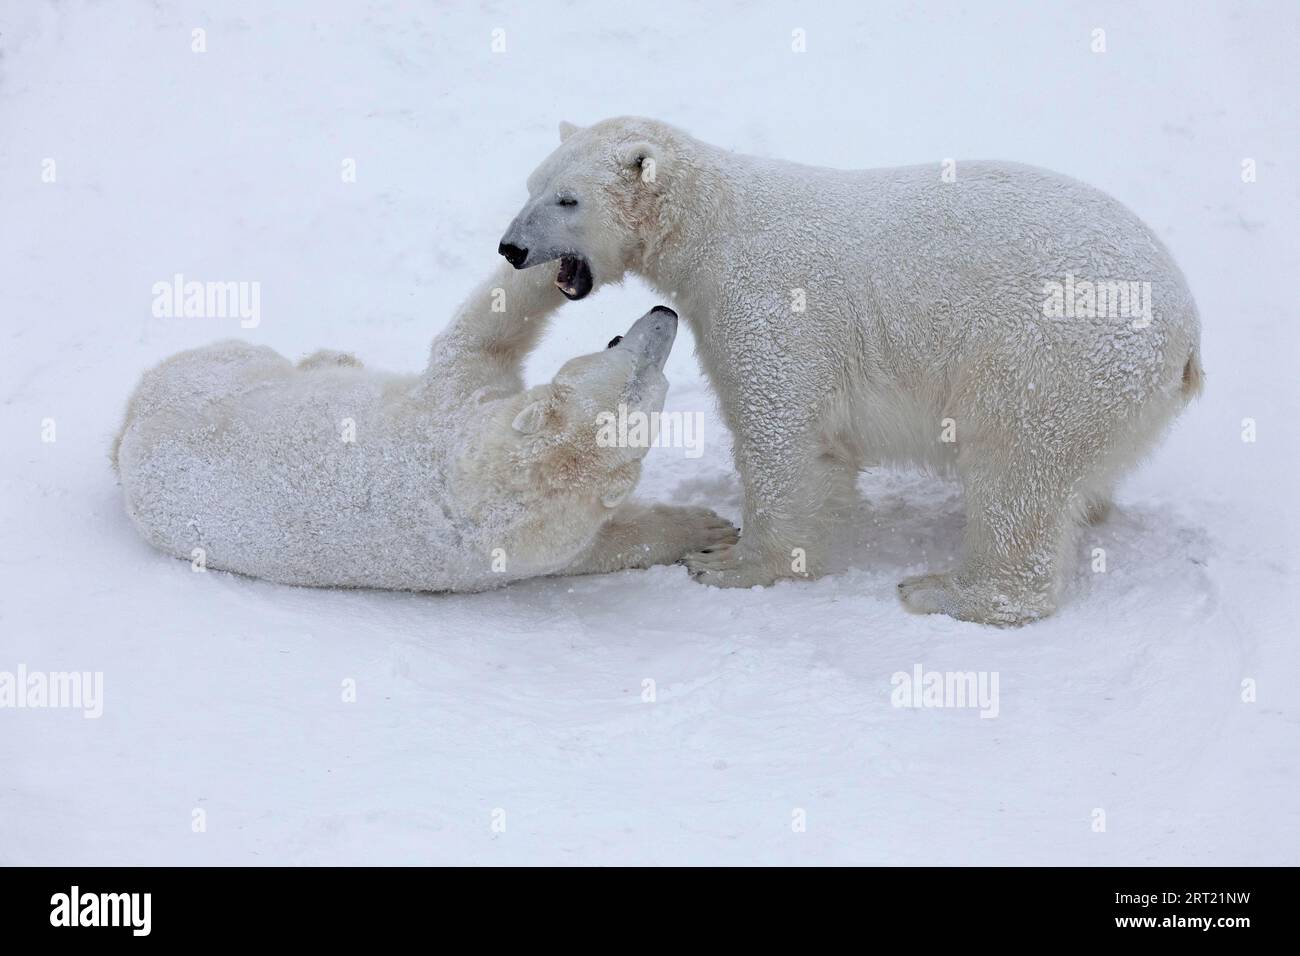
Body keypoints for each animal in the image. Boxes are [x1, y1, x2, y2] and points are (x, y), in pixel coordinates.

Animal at [112, 261, 736, 591]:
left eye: (652, 377)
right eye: (629, 358)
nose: (663, 315)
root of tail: (125, 439)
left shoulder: (545, 543)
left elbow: (615, 543)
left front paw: (708, 529)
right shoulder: (460, 412)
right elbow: (482, 332)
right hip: (219, 373)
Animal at [497, 117, 1203, 625]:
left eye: (567, 198)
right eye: (530, 184)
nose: (511, 247)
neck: (714, 225)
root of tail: (1186, 326)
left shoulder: (768, 303)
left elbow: (781, 433)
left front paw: (727, 562)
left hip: (1052, 357)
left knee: (1017, 468)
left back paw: (943, 591)